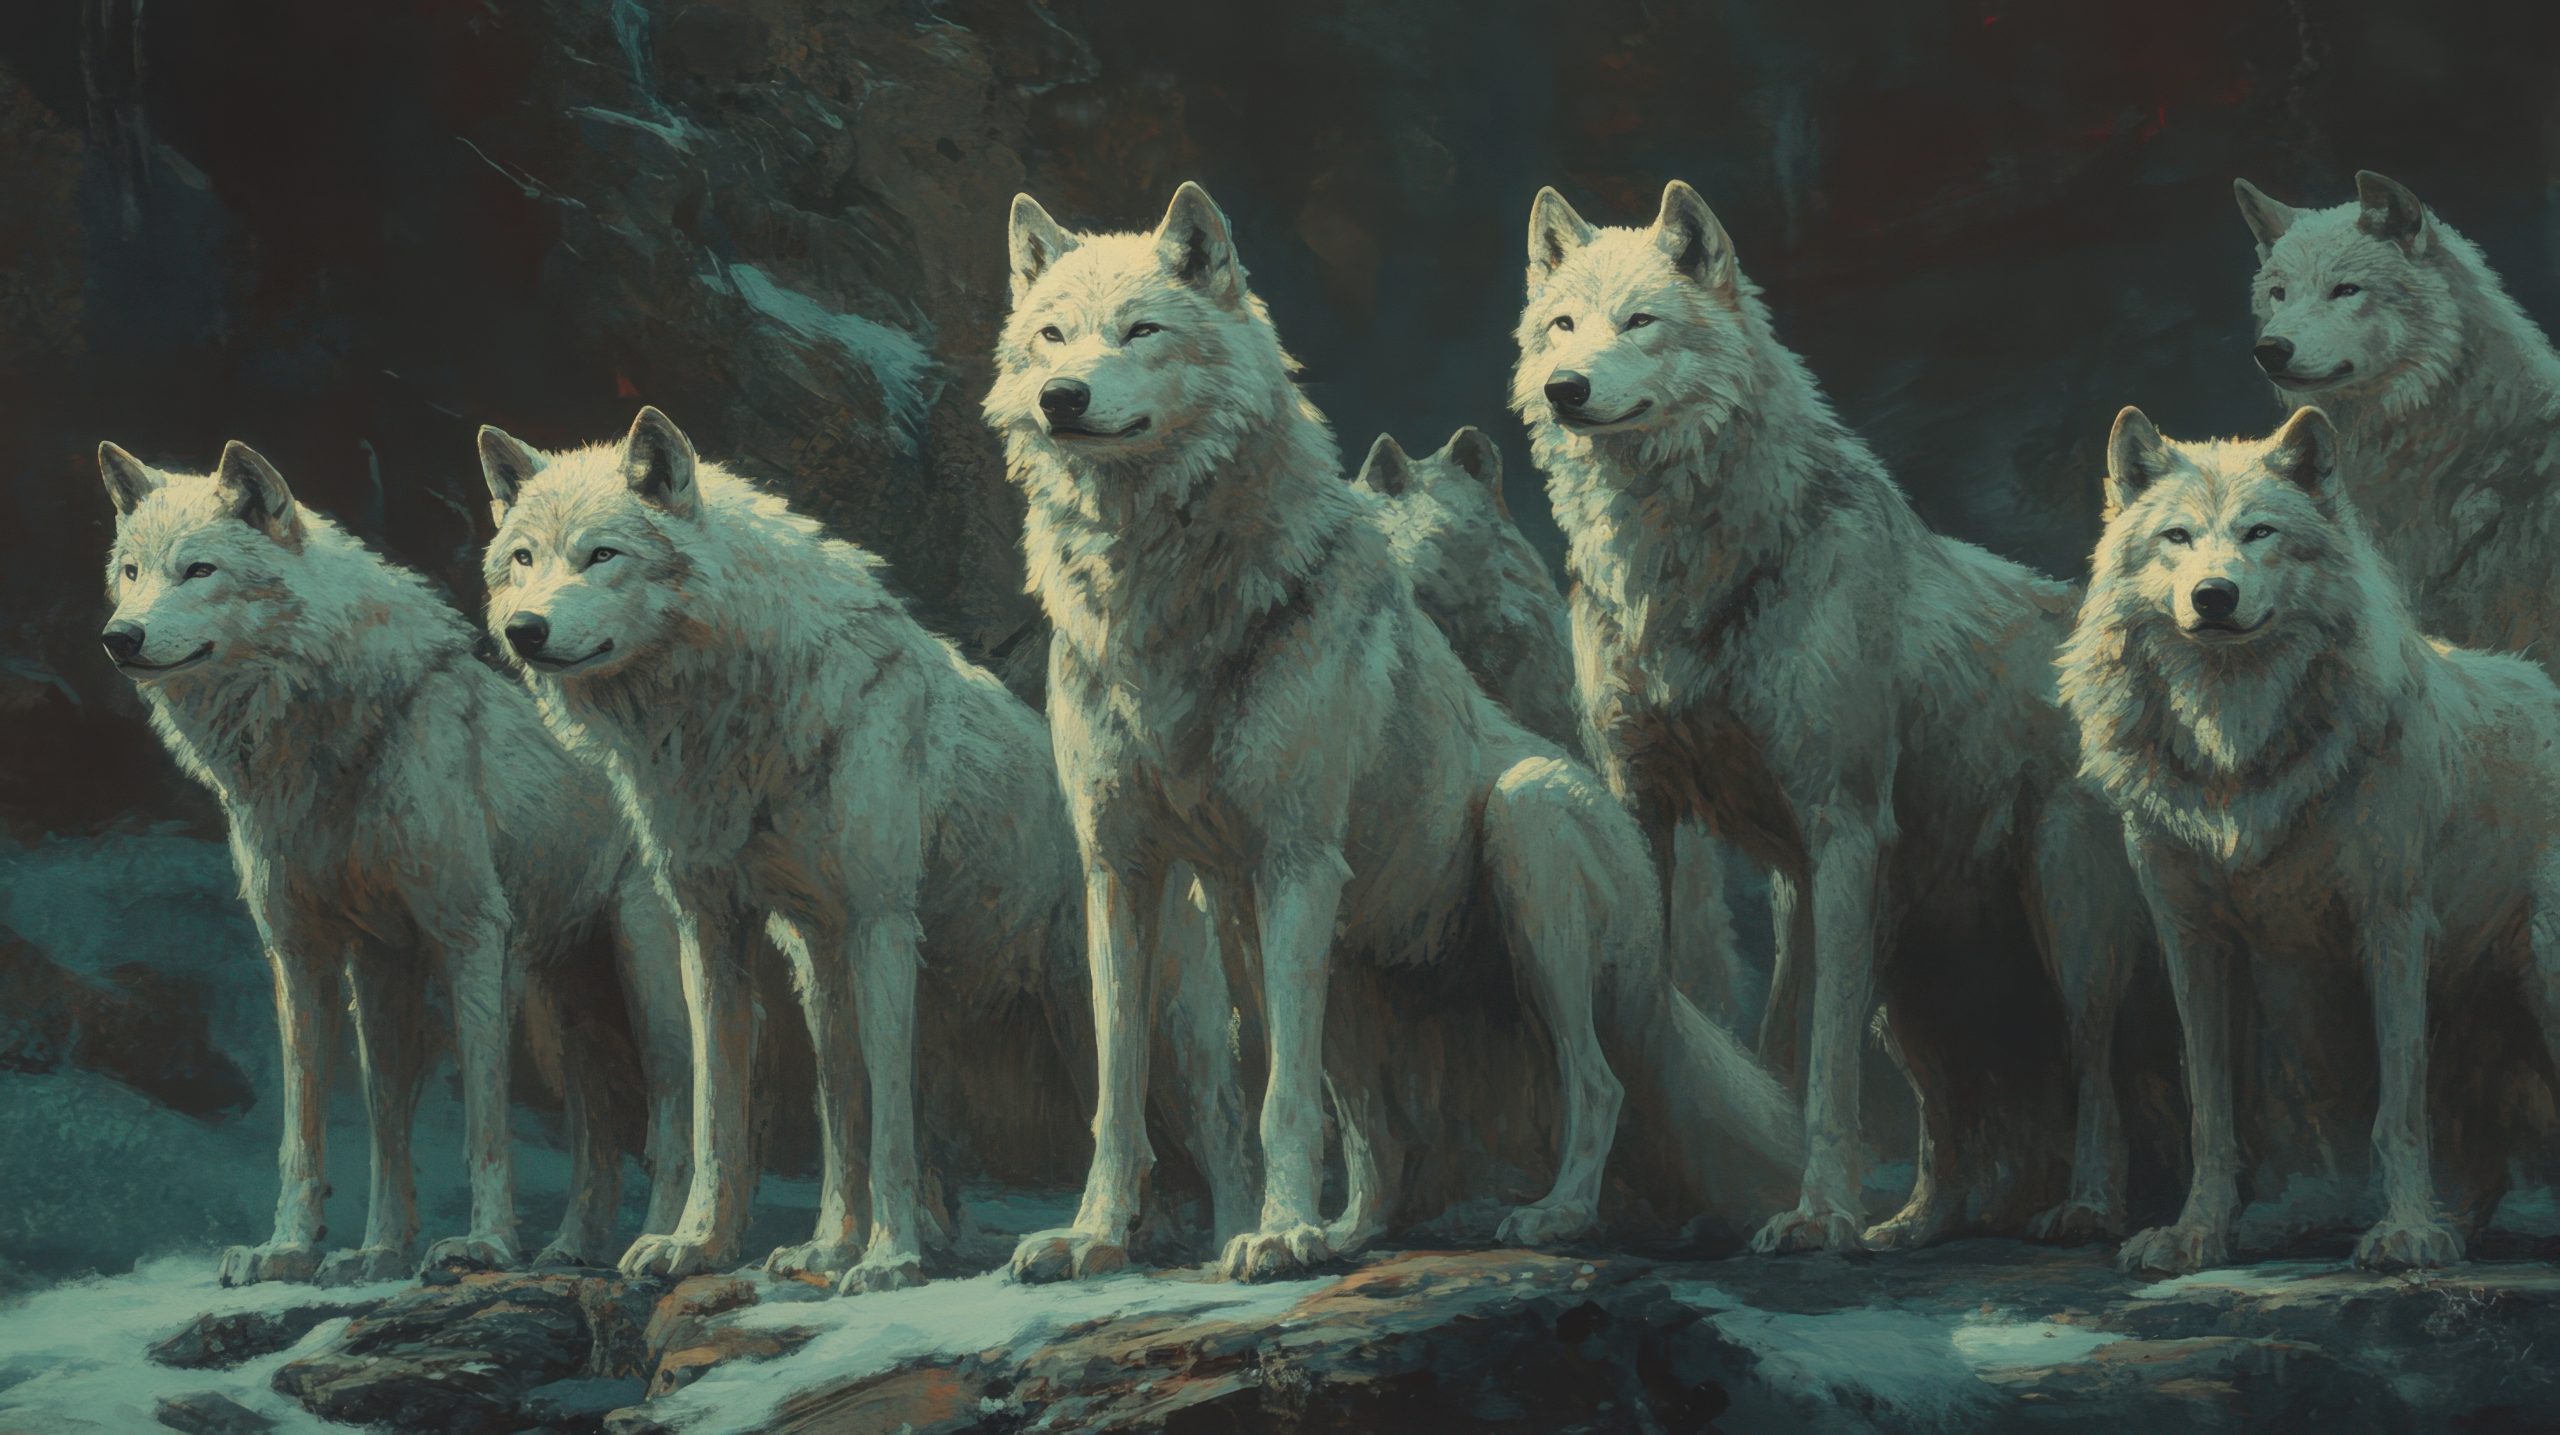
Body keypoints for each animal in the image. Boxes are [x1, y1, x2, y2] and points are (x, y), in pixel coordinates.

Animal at [94, 441, 692, 1286]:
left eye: (199, 569)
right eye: (132, 570)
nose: (121, 636)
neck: (334, 749)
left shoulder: (469, 937)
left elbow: (483, 1118)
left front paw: (483, 1245)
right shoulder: (334, 957)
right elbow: (343, 1123)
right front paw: (329, 1250)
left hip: (645, 980)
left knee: (676, 1113)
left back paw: (662, 1243)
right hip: (563, 1010)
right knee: (598, 1127)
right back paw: (573, 1248)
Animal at [476, 408, 1253, 1294]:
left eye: (602, 554)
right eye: (523, 559)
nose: (523, 631)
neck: (744, 720)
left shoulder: (880, 925)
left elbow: (885, 1126)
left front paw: (887, 1258)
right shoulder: (739, 937)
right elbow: (761, 1113)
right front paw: (726, 1245)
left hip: (1154, 1022)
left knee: (1223, 1128)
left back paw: (1232, 1237)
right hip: (1068, 1022)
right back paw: (1125, 1240)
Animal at [1511, 181, 2150, 1254]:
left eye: (1640, 322)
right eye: (1563, 324)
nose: (1565, 387)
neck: (1685, 572)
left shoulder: (1840, 831)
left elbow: (1821, 1067)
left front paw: (1816, 1214)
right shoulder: (1657, 814)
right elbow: (1682, 1016)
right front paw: (1621, 1202)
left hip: (2065, 919)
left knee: (2094, 1067)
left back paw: (2091, 1206)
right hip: (1914, 972)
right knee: (1950, 1108)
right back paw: (1915, 1224)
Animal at [2061, 405, 2560, 1273]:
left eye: (2260, 532)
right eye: (2177, 537)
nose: (2214, 594)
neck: (2238, 748)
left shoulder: (2391, 926)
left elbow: (2398, 1111)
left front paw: (2406, 1232)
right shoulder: (2194, 940)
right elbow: (2209, 1111)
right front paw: (2196, 1234)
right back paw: (2462, 1225)